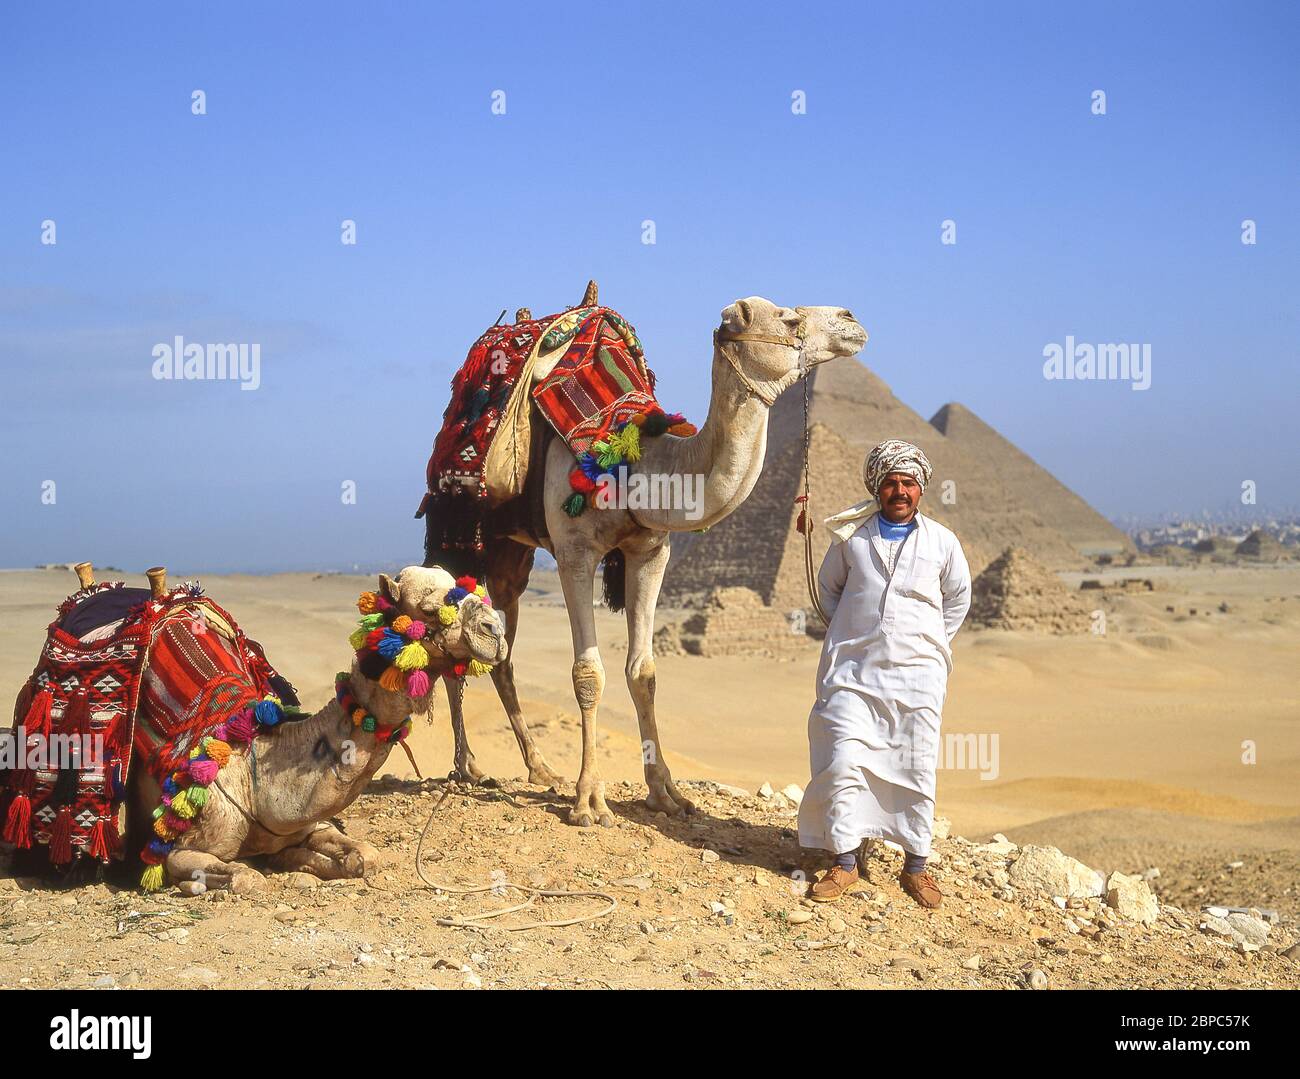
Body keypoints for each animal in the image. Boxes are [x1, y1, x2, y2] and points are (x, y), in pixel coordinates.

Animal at [122, 564, 507, 894]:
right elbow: (247, 879)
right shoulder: (181, 850)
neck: (254, 778)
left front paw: (299, 860)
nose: (495, 630)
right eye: (429, 609)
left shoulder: (307, 824)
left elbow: (366, 856)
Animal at [436, 288, 867, 827]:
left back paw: (539, 769)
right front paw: (589, 801)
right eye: (789, 319)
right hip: (458, 535)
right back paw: (467, 766)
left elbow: (644, 672)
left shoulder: (650, 552)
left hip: (511, 556)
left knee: (501, 654)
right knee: (451, 645)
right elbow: (588, 673)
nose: (851, 320)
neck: (638, 464)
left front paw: (666, 793)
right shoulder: (575, 553)